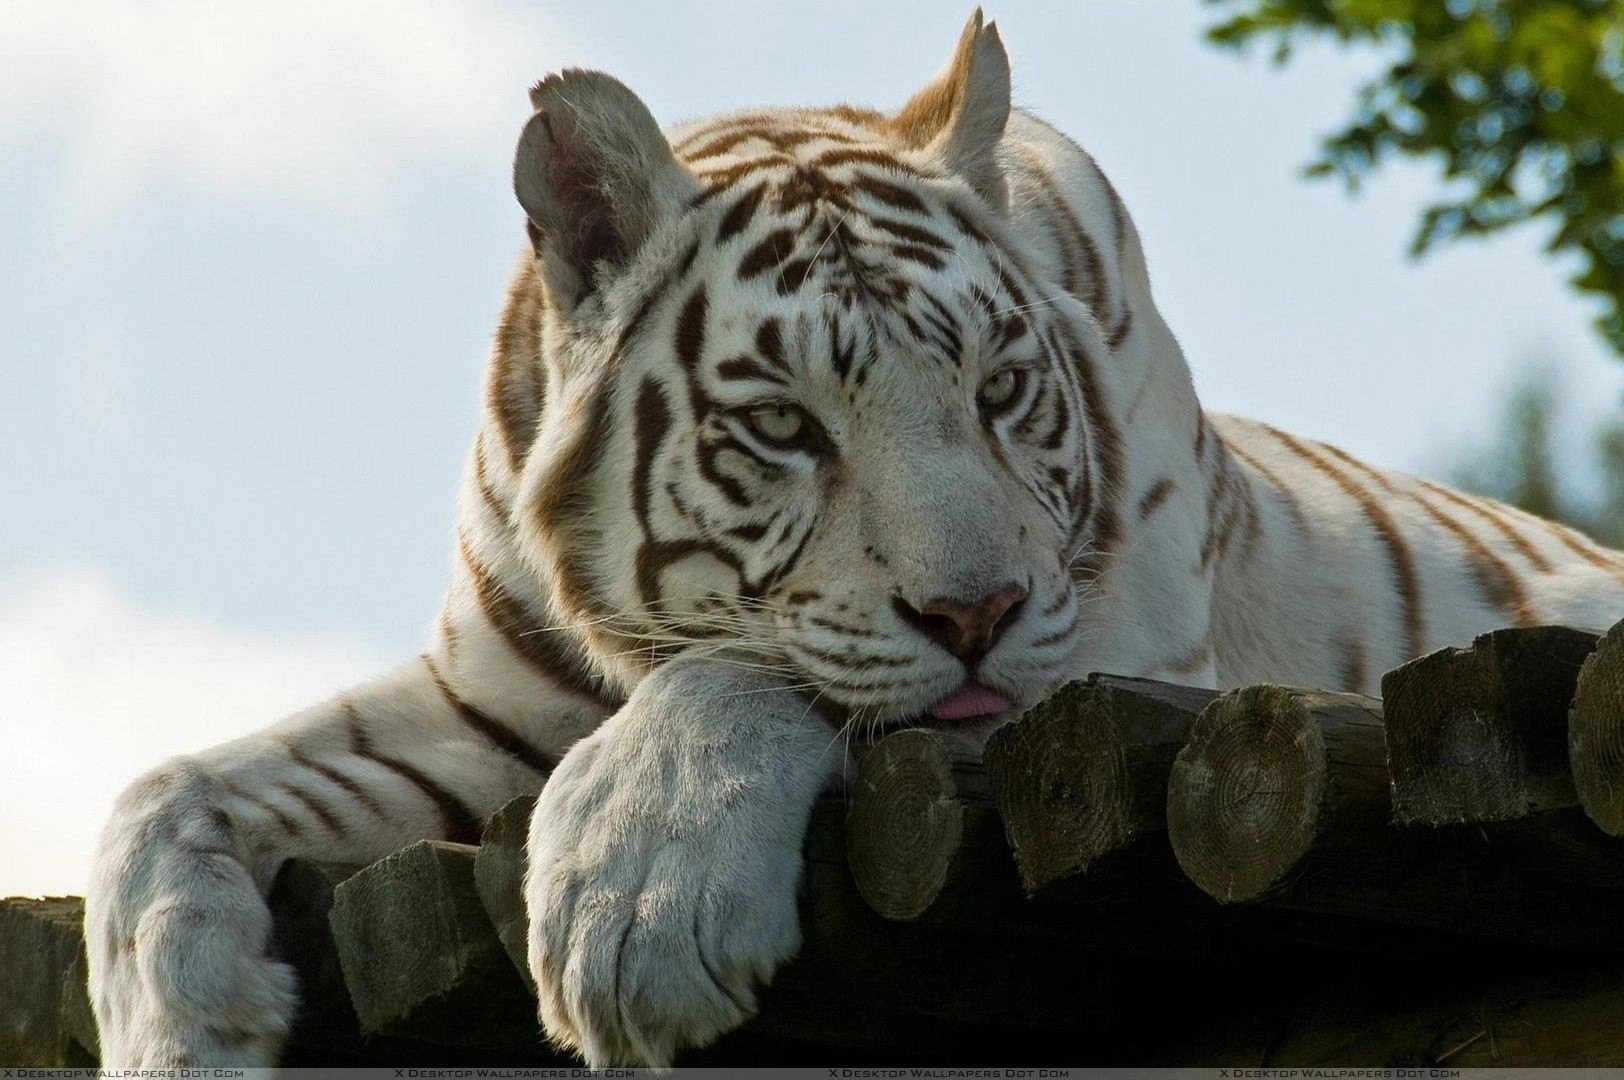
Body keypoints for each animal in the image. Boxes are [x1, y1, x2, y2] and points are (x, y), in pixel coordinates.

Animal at [86, 9, 1624, 1070]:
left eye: (999, 391)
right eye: (784, 424)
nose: (976, 614)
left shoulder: (1108, 648)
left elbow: (762, 671)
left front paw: (632, 907)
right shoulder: (484, 700)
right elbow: (164, 791)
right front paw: (180, 1027)